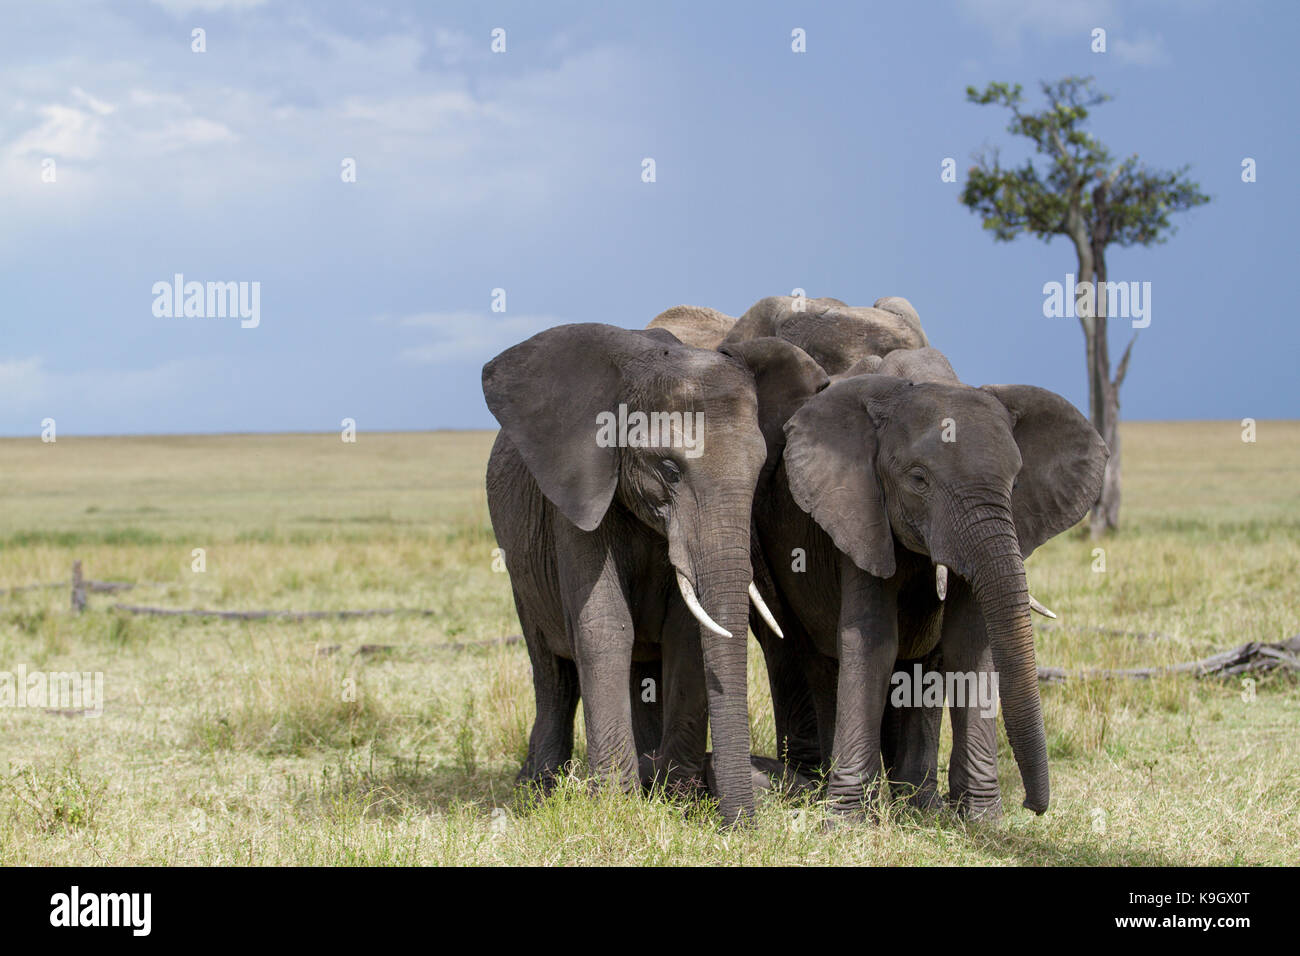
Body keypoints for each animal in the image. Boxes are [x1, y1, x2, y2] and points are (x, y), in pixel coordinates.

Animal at [482, 322, 812, 823]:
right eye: (670, 470)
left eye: (759, 471)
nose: (747, 828)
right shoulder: (578, 491)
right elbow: (604, 625)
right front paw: (615, 809)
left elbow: (685, 633)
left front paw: (678, 800)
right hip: (522, 571)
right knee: (553, 674)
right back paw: (536, 790)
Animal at [746, 345, 1108, 816]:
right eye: (919, 480)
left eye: (1014, 482)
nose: (1034, 805)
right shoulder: (858, 510)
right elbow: (871, 640)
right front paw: (846, 820)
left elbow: (969, 641)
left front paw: (981, 820)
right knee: (815, 655)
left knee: (925, 662)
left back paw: (920, 805)